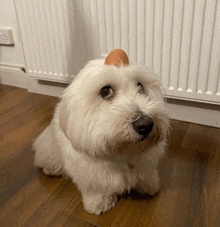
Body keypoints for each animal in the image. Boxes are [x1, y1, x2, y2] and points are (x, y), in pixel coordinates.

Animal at [33, 49, 169, 215]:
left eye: (141, 86)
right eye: (105, 91)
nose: (145, 124)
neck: (123, 152)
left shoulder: (147, 161)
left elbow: (147, 174)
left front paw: (150, 185)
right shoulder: (90, 172)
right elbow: (96, 188)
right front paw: (98, 203)